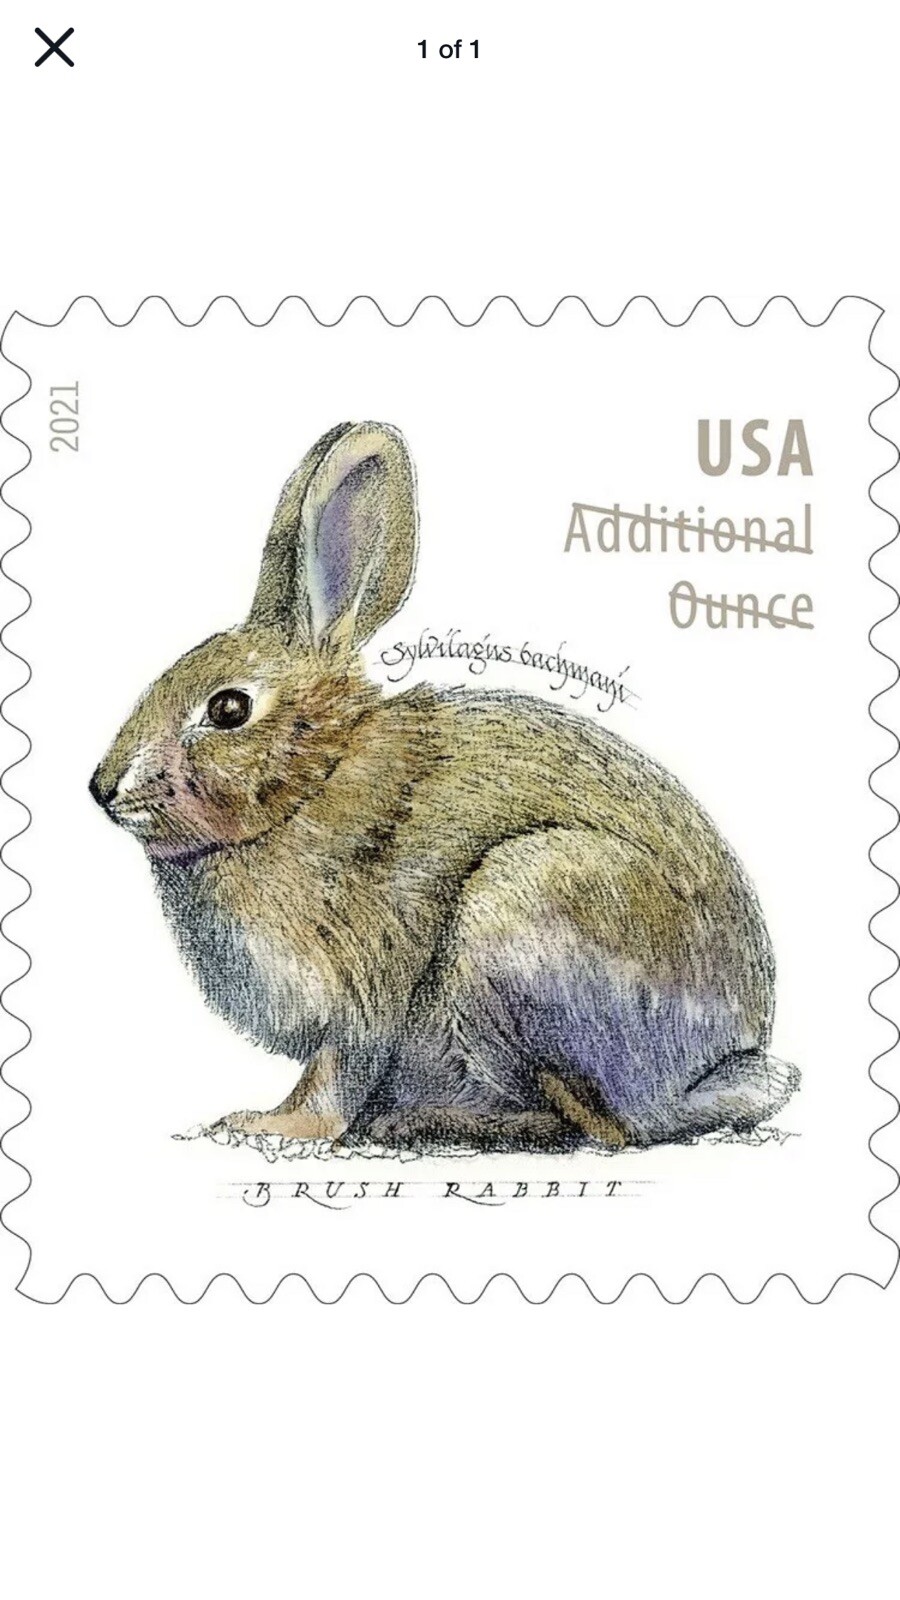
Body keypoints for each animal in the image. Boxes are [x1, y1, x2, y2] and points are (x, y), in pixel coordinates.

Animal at [90, 420, 798, 1153]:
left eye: (229, 709)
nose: (102, 787)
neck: (312, 784)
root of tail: (721, 1064)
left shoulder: (363, 987)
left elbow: (337, 1075)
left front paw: (271, 1124)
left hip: (522, 909)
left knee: (612, 1126)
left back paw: (436, 1120)